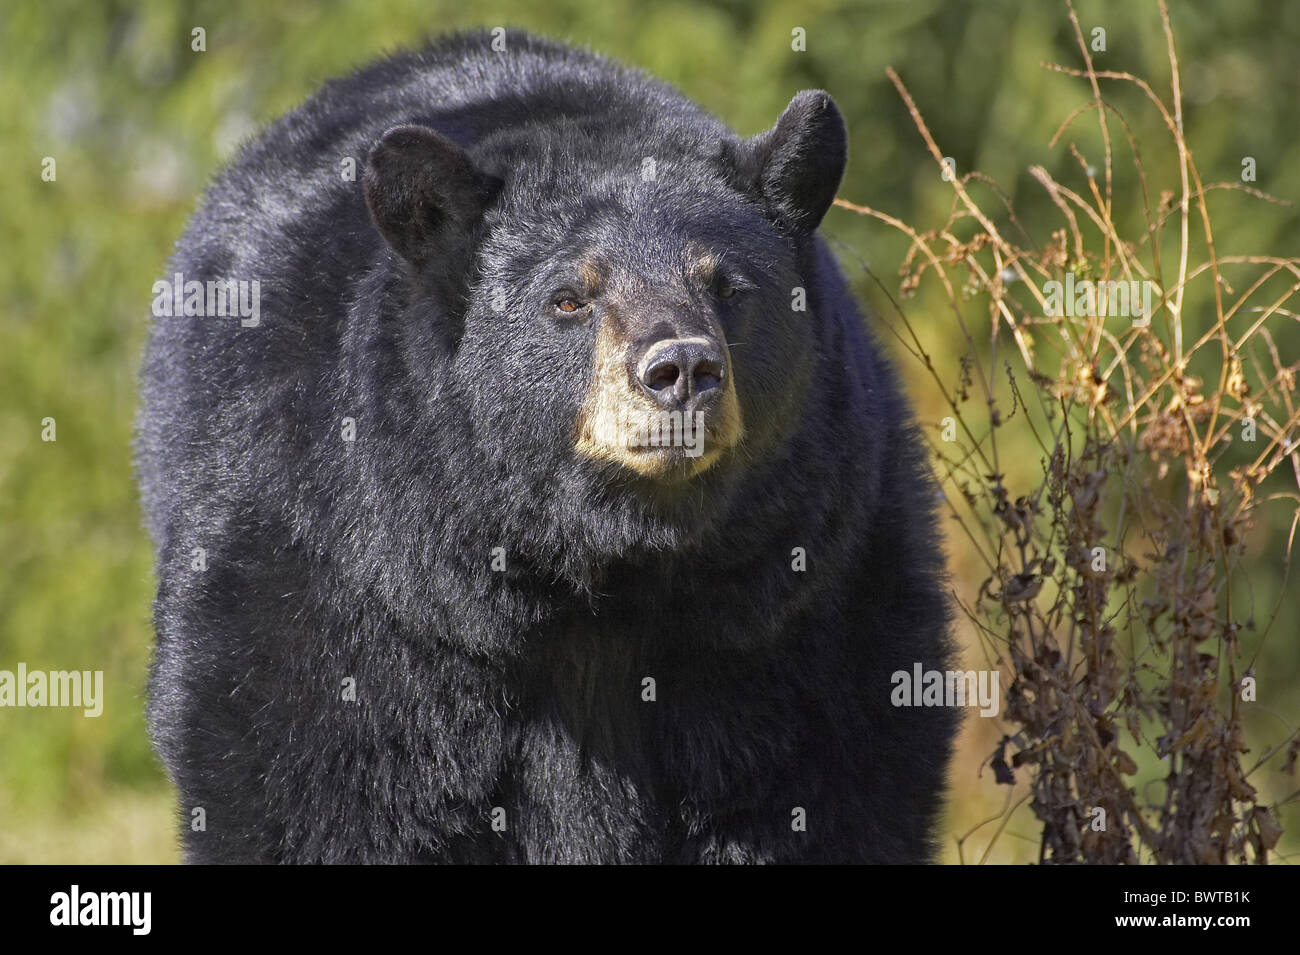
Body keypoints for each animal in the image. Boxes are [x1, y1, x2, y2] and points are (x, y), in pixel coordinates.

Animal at [137, 28, 958, 864]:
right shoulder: (347, 575)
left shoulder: (804, 596)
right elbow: (315, 785)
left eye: (729, 286)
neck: (600, 566)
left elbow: (819, 782)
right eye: (570, 298)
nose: (681, 369)